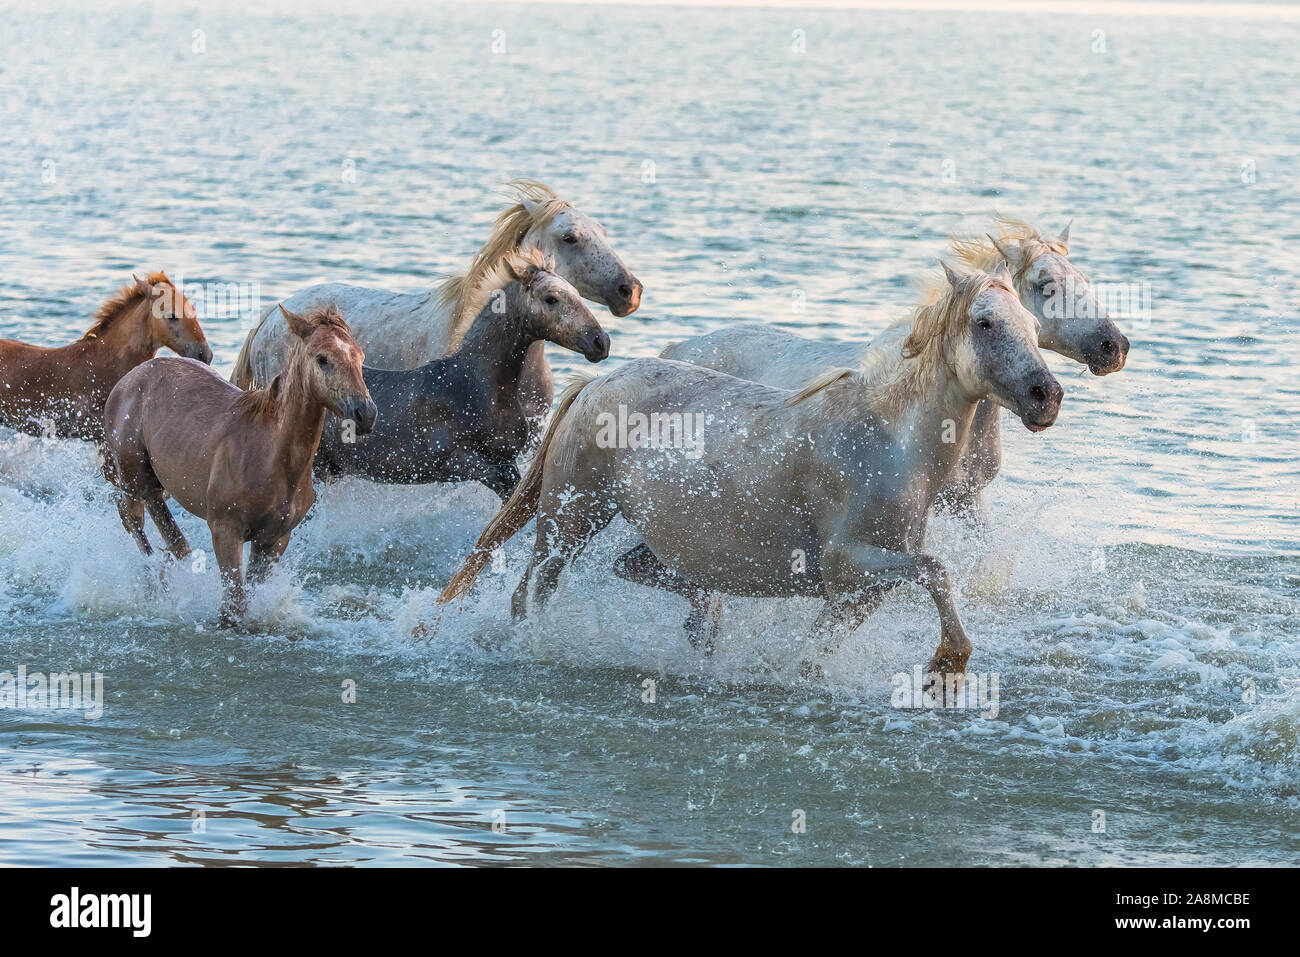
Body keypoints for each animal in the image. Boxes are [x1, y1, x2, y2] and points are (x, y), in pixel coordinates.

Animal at [102, 304, 376, 627]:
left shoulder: (274, 540)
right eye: (323, 359)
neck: (270, 456)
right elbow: (233, 607)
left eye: (360, 357)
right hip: (134, 475)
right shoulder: (225, 531)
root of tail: (128, 379)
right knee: (145, 523)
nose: (365, 413)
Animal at [314, 249, 609, 498]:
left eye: (576, 292)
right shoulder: (456, 461)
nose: (601, 342)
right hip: (319, 470)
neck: (477, 385)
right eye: (551, 298)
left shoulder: (506, 460)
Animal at [432, 261, 1063, 677]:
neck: (891, 443)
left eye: (1034, 329)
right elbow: (937, 569)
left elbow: (825, 646)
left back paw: (704, 627)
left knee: (638, 569)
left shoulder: (855, 594)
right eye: (985, 322)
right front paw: (949, 660)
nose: (1047, 396)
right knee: (533, 590)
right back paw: (538, 649)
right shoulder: (849, 565)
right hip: (570, 519)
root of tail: (593, 384)